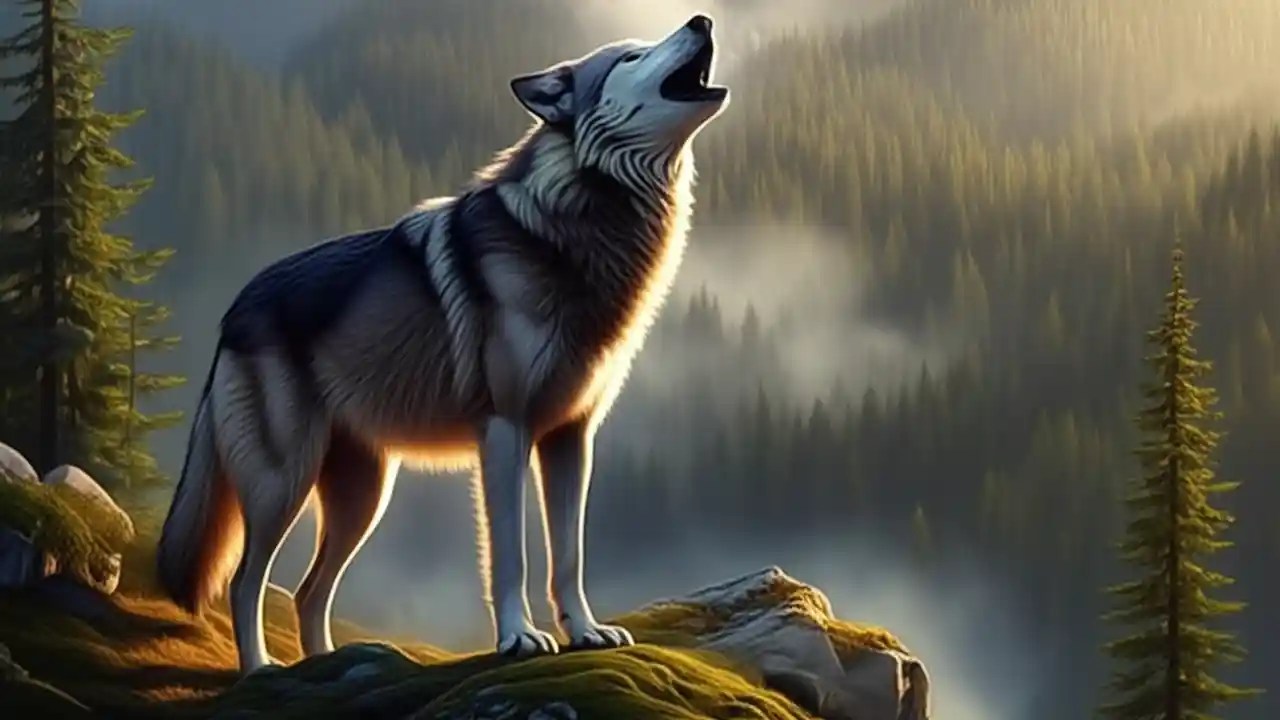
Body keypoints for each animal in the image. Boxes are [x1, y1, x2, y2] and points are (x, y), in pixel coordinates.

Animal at [156, 15, 729, 673]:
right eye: (631, 57)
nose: (702, 20)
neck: (576, 225)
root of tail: (232, 311)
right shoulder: (505, 432)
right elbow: (511, 555)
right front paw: (518, 637)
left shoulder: (570, 436)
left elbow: (570, 556)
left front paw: (585, 632)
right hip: (284, 486)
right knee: (246, 580)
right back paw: (260, 672)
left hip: (363, 498)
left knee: (308, 591)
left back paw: (327, 666)